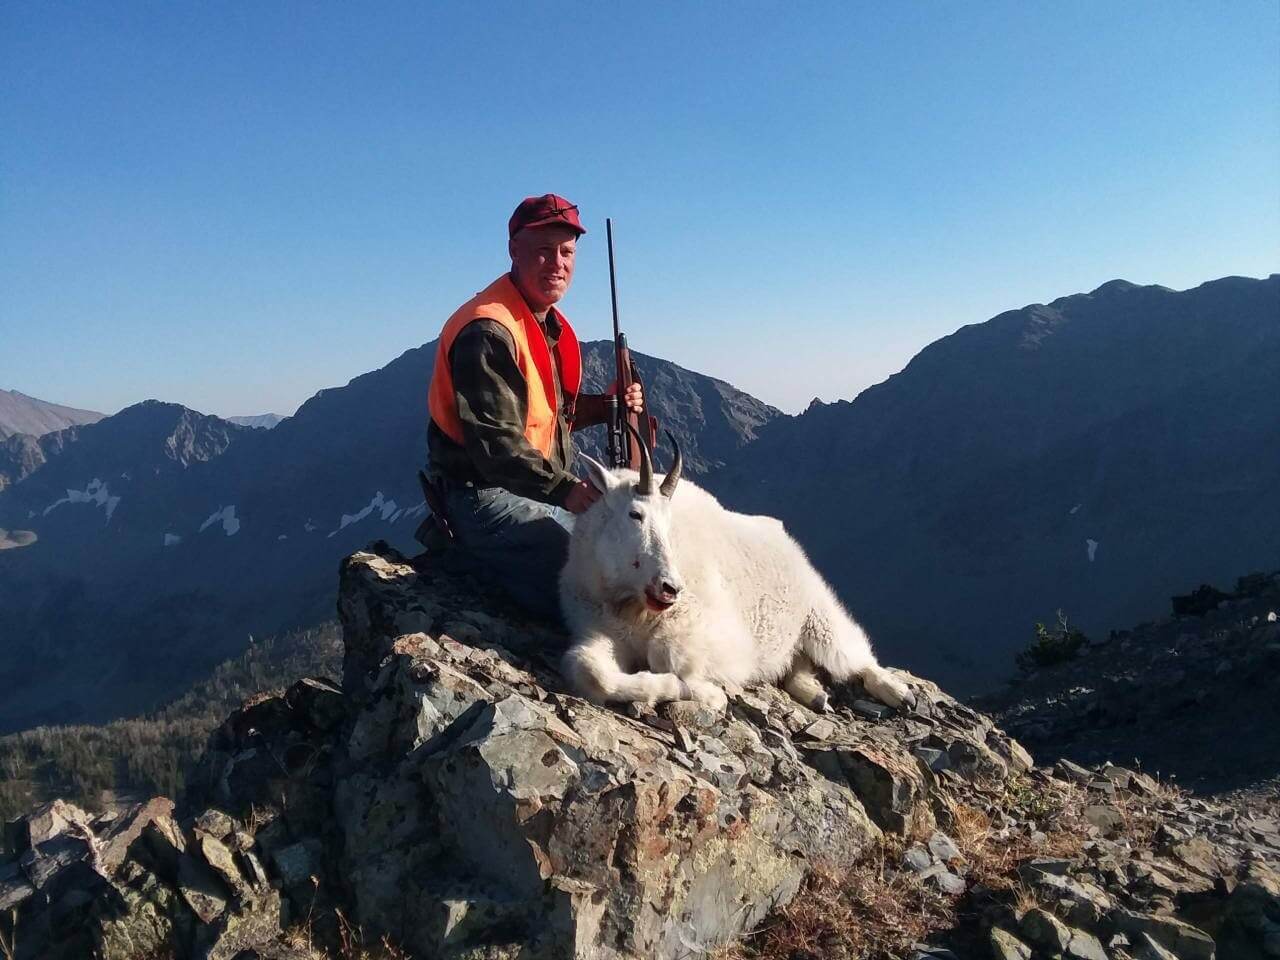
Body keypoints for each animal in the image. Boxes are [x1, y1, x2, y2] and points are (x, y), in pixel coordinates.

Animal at [559, 433, 914, 714]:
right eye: (636, 514)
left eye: (670, 521)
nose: (670, 588)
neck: (628, 603)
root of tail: (788, 540)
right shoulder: (601, 630)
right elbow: (591, 671)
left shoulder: (718, 634)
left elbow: (667, 656)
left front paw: (708, 693)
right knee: (796, 663)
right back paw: (815, 694)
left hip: (819, 616)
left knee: (852, 655)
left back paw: (899, 694)